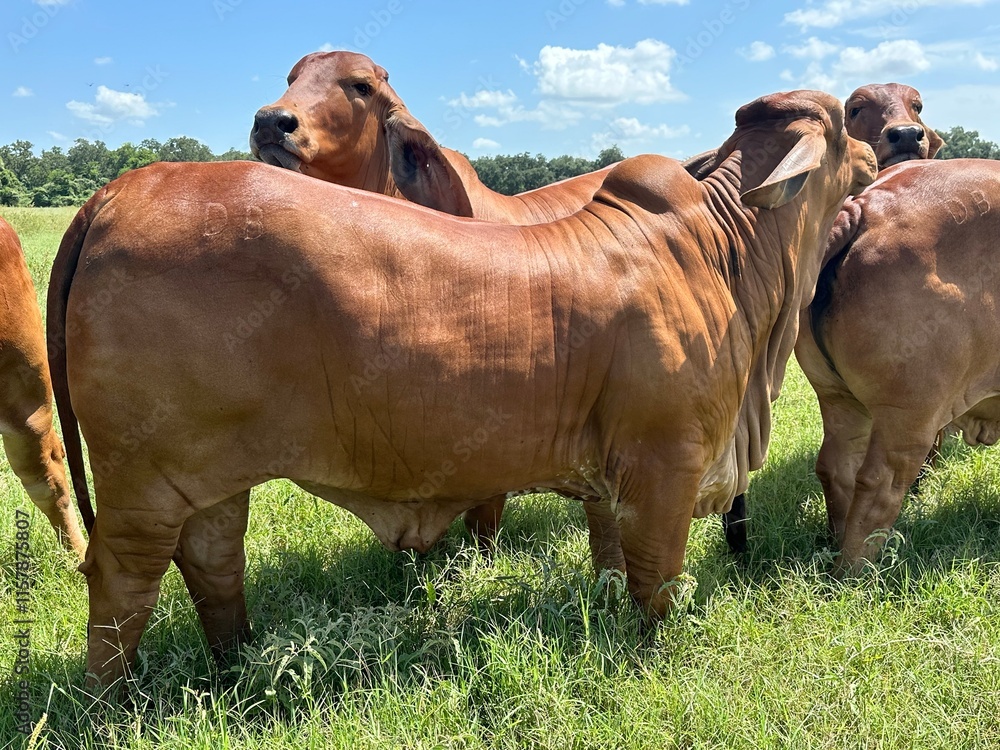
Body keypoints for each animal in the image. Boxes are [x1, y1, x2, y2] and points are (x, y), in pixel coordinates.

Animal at [49, 90, 876, 686]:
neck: (726, 246)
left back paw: (239, 662)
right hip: (140, 484)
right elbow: (655, 583)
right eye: (841, 124)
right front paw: (650, 656)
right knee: (122, 584)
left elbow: (612, 562)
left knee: (214, 564)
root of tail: (119, 191)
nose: (875, 148)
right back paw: (112, 702)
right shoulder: (664, 465)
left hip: (210, 479)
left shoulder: (613, 478)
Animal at [795, 158, 1000, 573]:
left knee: (836, 467)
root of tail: (865, 206)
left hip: (837, 396)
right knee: (878, 483)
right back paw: (856, 571)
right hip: (909, 412)